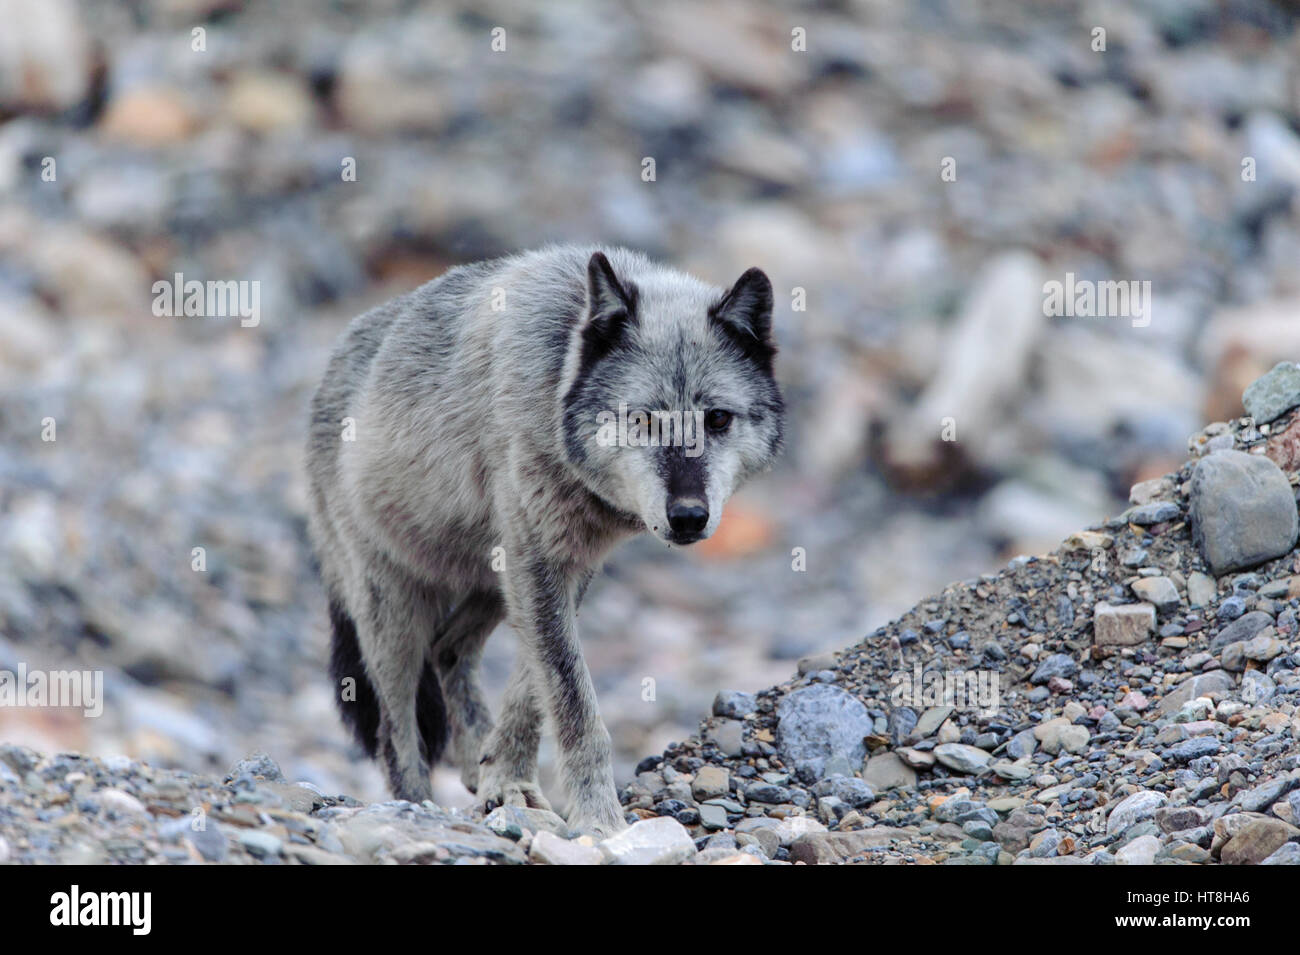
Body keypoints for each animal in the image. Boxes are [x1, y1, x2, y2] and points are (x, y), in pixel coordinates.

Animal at [306, 245, 784, 835]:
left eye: (717, 419)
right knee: (395, 733)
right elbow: (572, 702)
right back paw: (415, 807)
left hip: (491, 582)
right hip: (394, 612)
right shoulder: (539, 564)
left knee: (449, 649)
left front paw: (505, 779)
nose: (689, 517)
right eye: (642, 419)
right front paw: (600, 822)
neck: (555, 375)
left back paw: (473, 760)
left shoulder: (568, 567)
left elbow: (534, 691)